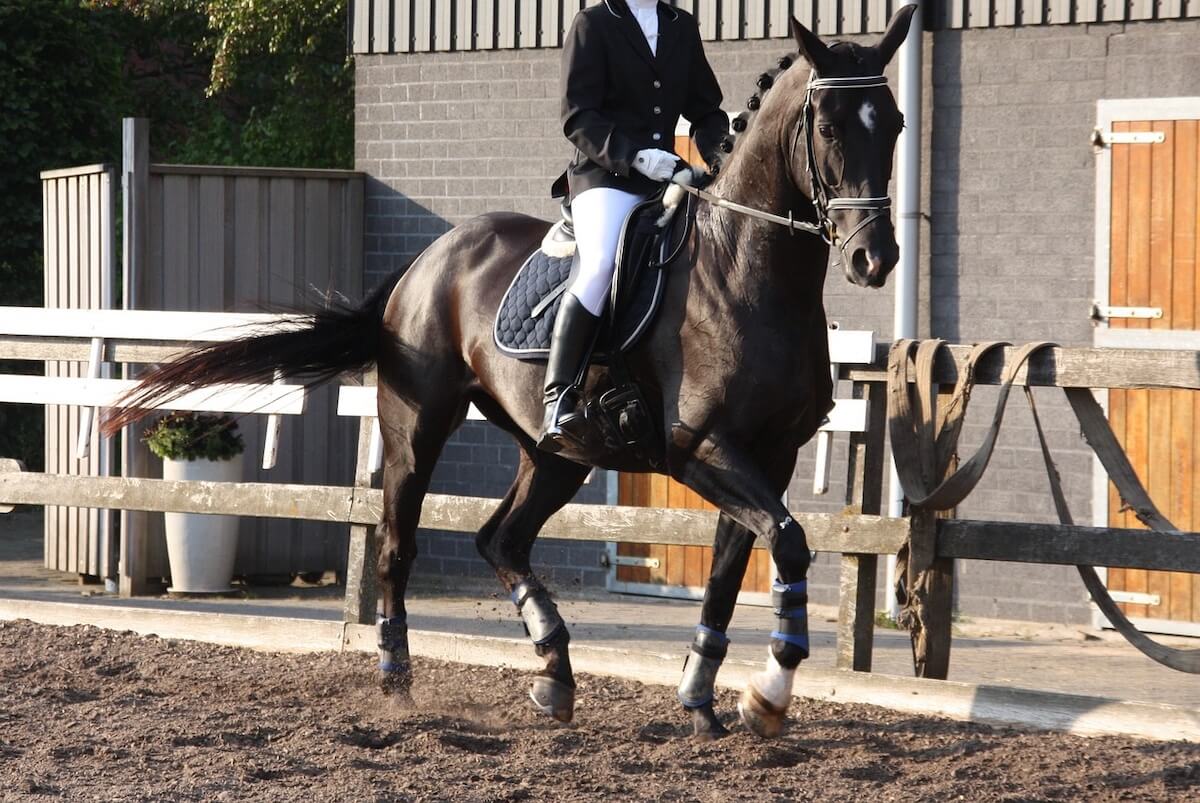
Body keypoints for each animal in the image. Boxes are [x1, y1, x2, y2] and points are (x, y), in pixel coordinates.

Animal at [104, 6, 917, 740]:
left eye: (895, 123)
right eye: (829, 127)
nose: (873, 259)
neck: (745, 272)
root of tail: (426, 260)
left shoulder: (766, 456)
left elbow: (733, 569)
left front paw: (706, 697)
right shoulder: (699, 448)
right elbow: (788, 541)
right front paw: (768, 694)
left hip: (557, 451)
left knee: (502, 539)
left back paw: (555, 674)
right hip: (417, 427)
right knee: (399, 545)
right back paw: (398, 681)